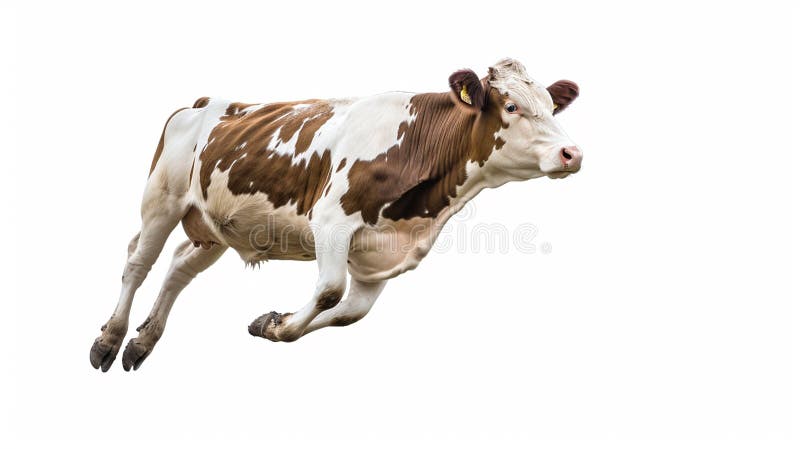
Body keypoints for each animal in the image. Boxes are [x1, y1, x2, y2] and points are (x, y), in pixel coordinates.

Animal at [89, 58, 582, 372]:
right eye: (512, 106)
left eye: (551, 106)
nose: (571, 153)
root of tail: (205, 100)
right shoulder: (331, 222)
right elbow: (329, 291)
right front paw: (279, 325)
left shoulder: (378, 255)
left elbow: (349, 314)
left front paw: (269, 322)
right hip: (161, 198)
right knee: (138, 262)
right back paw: (109, 341)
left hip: (214, 228)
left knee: (178, 268)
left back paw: (141, 344)